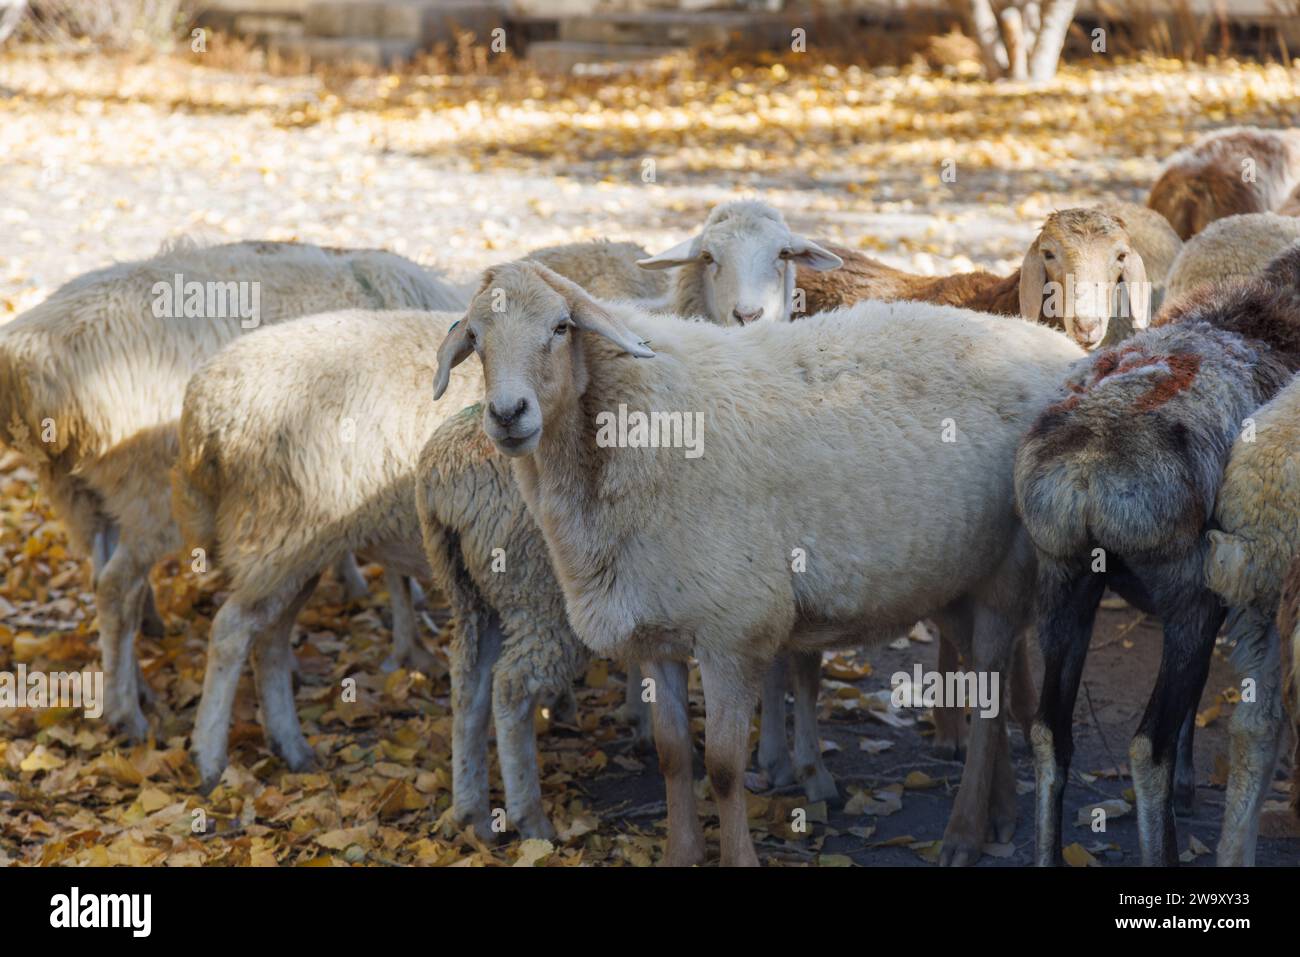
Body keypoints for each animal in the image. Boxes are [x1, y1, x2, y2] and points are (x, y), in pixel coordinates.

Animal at [0, 239, 463, 740]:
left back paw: (131, 685)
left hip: (80, 495)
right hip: (154, 495)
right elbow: (394, 572)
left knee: (103, 580)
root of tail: (27, 362)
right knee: (117, 588)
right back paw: (128, 714)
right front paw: (409, 643)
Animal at [432, 260, 1086, 866]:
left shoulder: (732, 631)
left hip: (1008, 570)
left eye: (562, 327)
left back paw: (964, 832)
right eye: (476, 338)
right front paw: (681, 854)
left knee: (991, 694)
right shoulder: (654, 632)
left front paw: (737, 854)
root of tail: (1059, 349)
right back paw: (1000, 811)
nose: (508, 414)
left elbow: (722, 766)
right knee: (987, 680)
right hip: (953, 577)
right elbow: (674, 756)